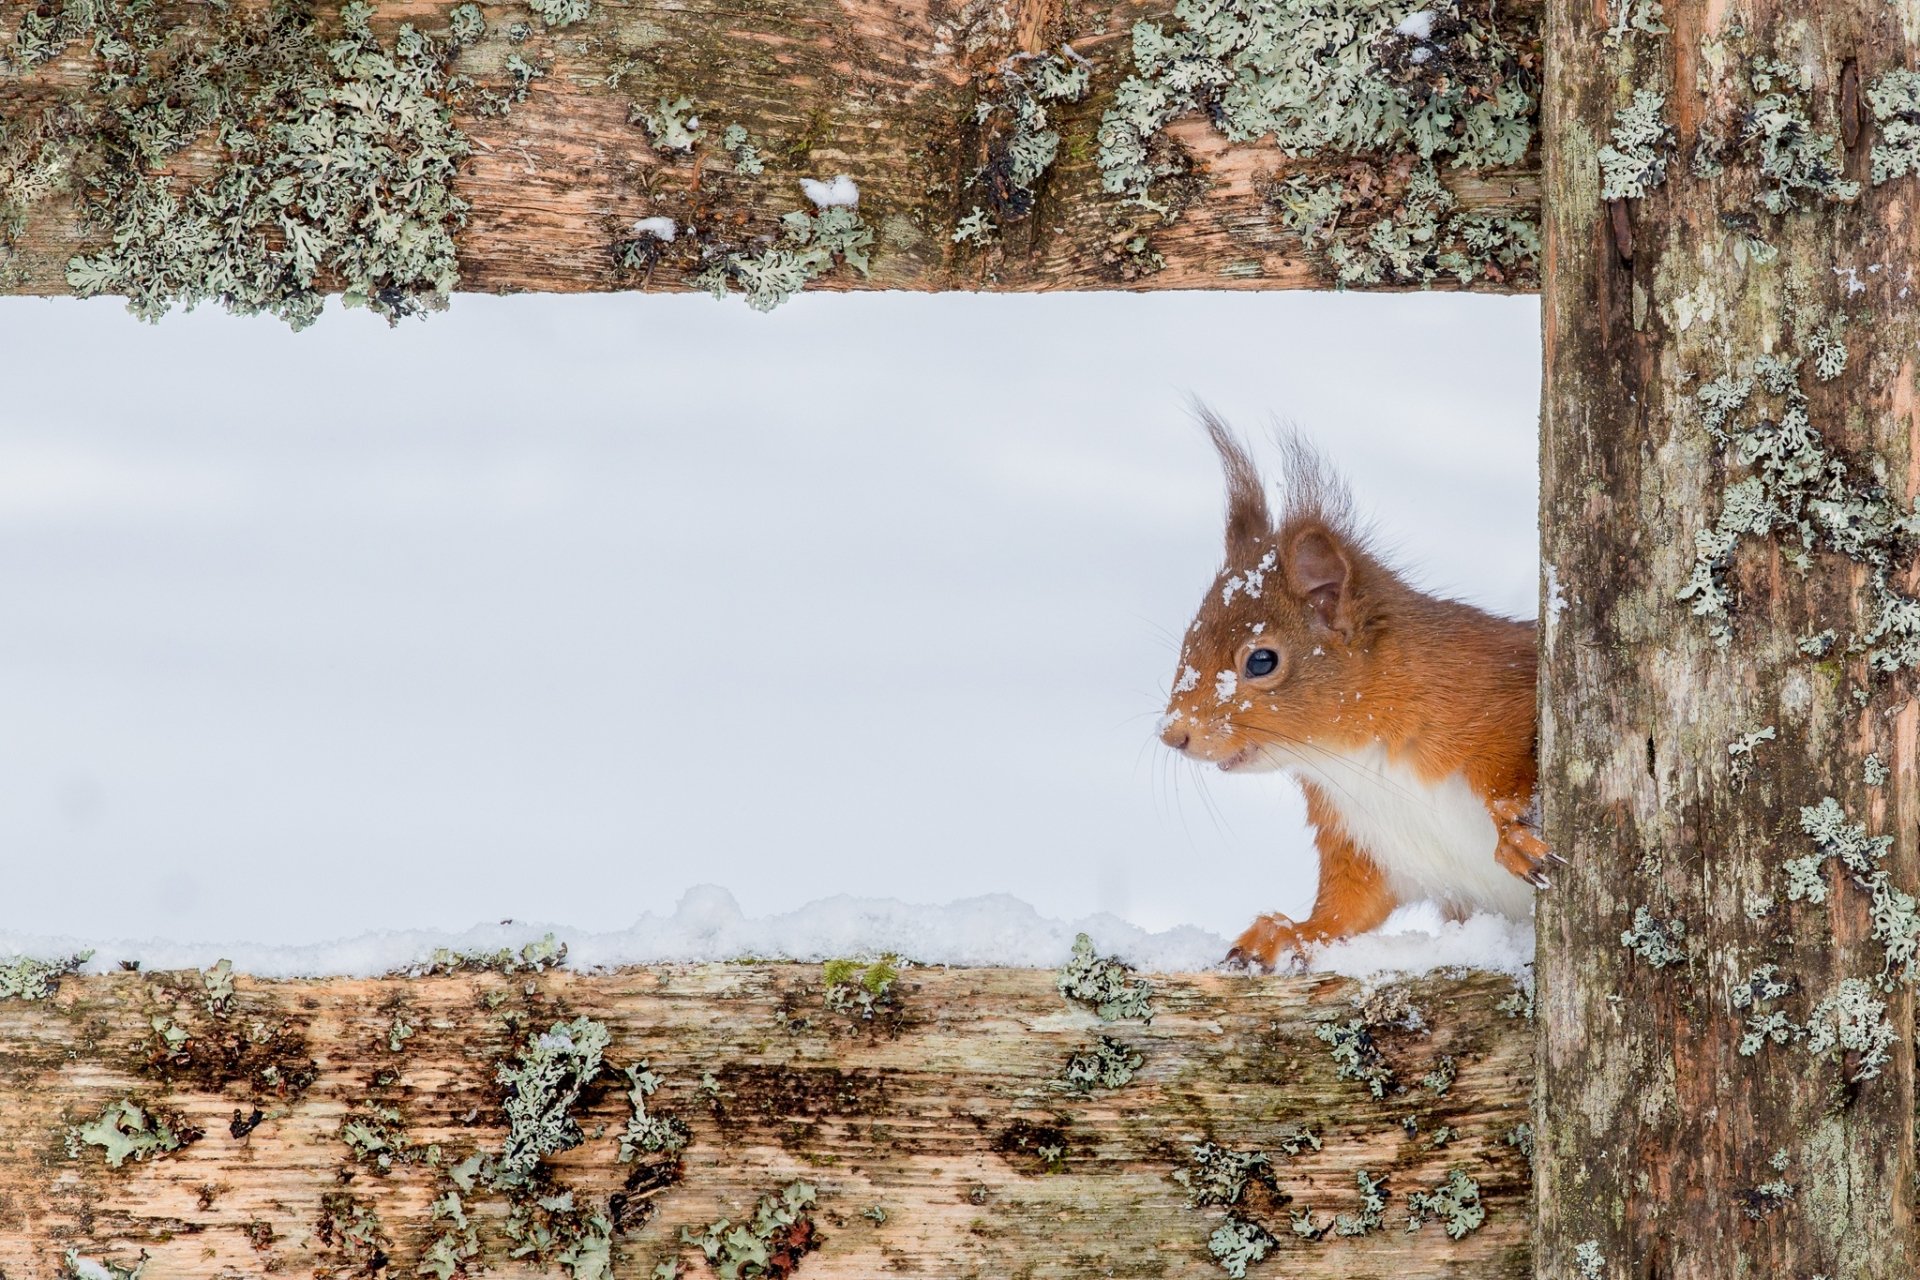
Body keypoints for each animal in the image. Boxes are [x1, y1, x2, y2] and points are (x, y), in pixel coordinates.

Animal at [1158, 411, 1552, 970]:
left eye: (1261, 660)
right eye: (1189, 637)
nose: (1174, 734)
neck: (1355, 755)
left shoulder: (1500, 698)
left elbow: (1515, 772)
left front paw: (1516, 836)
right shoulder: (1362, 836)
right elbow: (1347, 908)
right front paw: (1286, 934)